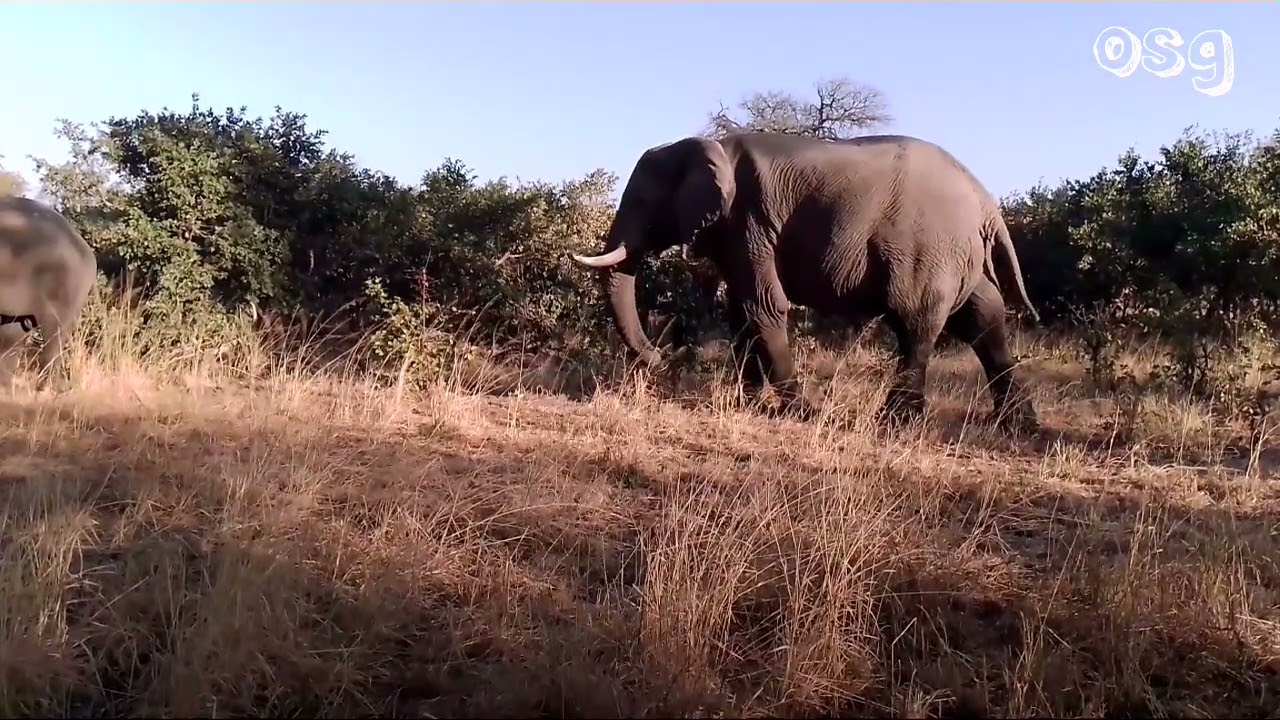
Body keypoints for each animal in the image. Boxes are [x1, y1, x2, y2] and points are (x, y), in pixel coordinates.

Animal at [569, 131, 1043, 432]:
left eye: (644, 201)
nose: (660, 357)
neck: (704, 143)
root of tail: (986, 201)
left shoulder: (749, 219)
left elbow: (762, 305)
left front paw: (799, 411)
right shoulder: (736, 231)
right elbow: (740, 312)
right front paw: (748, 403)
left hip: (928, 249)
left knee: (914, 323)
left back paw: (894, 424)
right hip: (958, 250)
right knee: (984, 317)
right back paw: (1018, 426)